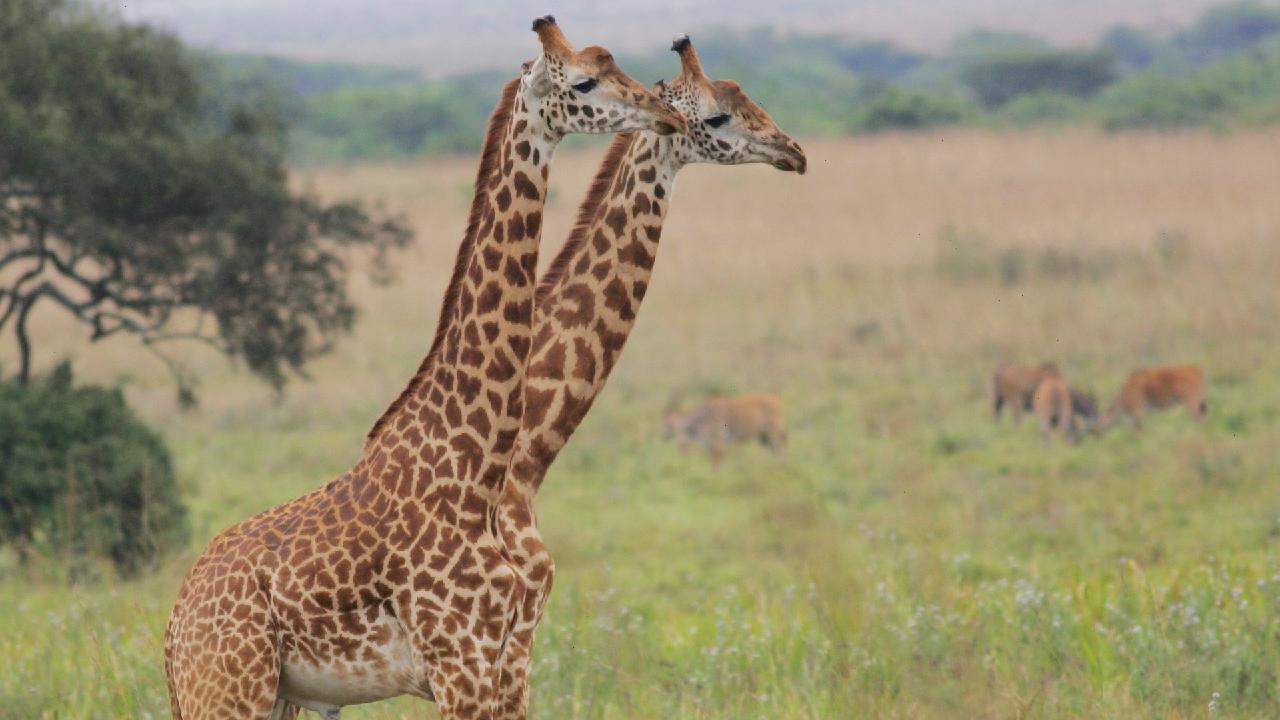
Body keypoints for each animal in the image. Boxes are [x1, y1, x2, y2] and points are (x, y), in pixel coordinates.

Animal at [163, 17, 686, 720]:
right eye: (583, 81)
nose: (663, 113)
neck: (474, 460)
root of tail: (172, 629)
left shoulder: (494, 657)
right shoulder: (461, 660)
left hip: (274, 696)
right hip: (228, 691)